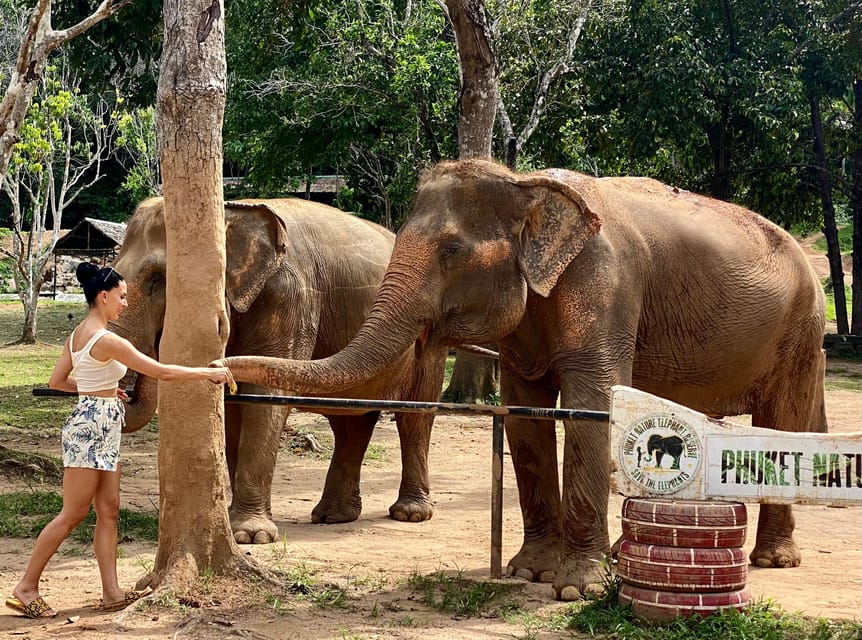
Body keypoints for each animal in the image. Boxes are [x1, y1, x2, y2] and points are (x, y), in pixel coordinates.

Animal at [110, 196, 448, 544]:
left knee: (414, 418)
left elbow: (267, 400)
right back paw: (333, 516)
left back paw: (410, 513)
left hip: (431, 339)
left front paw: (250, 535)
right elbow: (235, 406)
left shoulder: (291, 299)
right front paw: (238, 525)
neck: (232, 209)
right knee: (350, 422)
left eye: (158, 280)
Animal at [217, 159, 827, 599]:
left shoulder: (604, 284)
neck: (527, 185)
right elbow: (523, 413)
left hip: (802, 332)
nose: (221, 367)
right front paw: (527, 573)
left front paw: (576, 588)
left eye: (452, 250)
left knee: (783, 422)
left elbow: (591, 404)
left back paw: (773, 561)